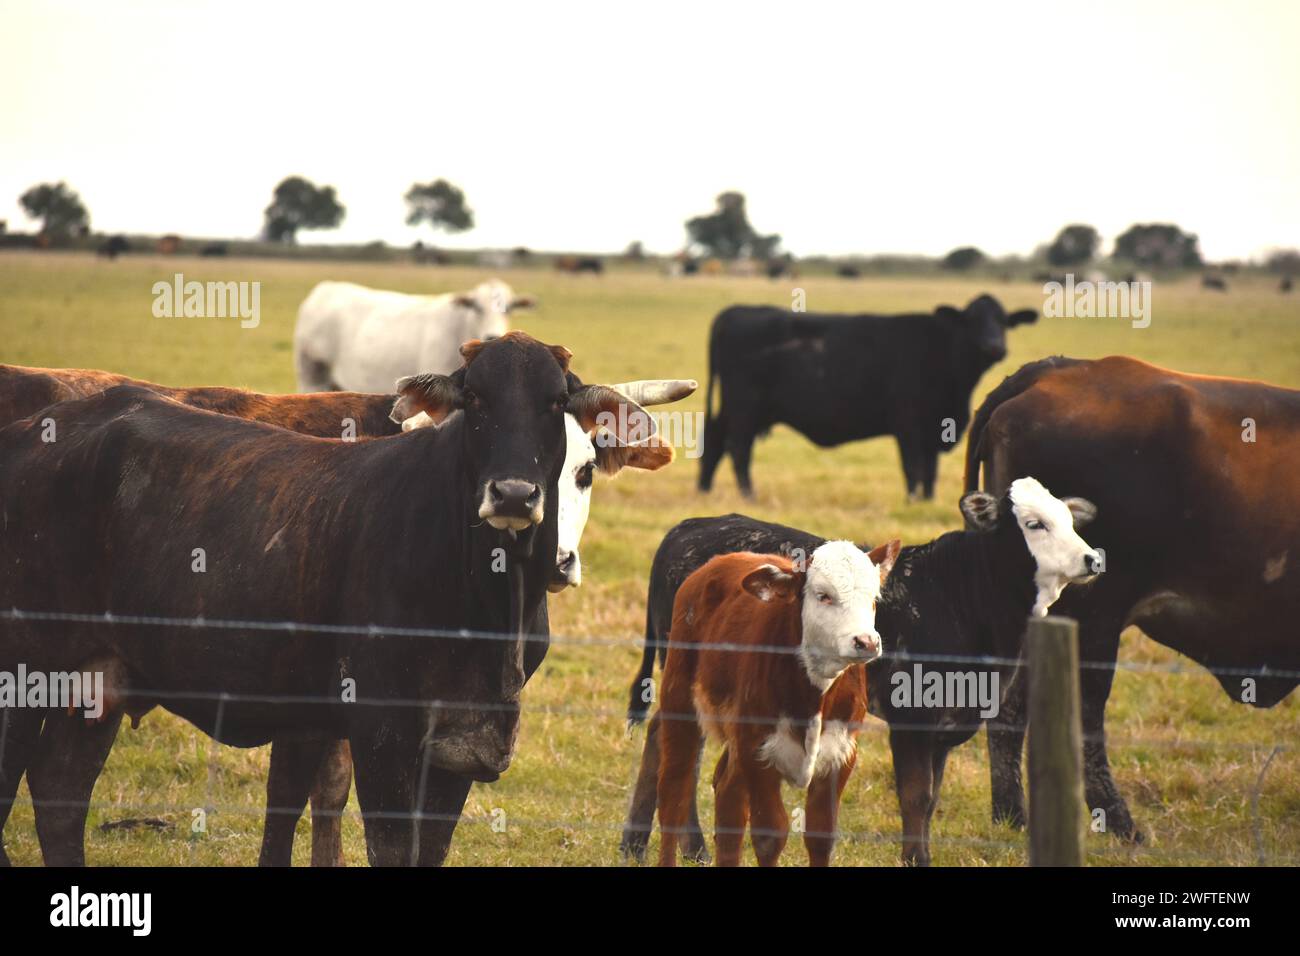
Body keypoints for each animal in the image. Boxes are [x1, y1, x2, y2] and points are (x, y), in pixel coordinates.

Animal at [0, 332, 656, 866]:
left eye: (554, 402)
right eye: (475, 400)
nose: (515, 495)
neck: (490, 604)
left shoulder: (461, 748)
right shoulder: (380, 736)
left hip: (98, 678)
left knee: (59, 794)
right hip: (24, 673)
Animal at [655, 541, 899, 866]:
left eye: (873, 599)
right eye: (823, 595)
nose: (866, 642)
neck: (814, 695)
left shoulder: (841, 754)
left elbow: (821, 834)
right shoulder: (758, 752)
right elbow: (770, 834)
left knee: (727, 793)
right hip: (679, 702)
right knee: (674, 793)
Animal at [697, 295, 1038, 500]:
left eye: (1004, 322)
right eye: (972, 320)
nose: (994, 346)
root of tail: (737, 310)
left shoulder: (936, 427)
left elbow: (931, 471)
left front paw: (927, 500)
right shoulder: (907, 423)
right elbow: (913, 467)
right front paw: (911, 501)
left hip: (740, 410)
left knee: (714, 440)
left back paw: (705, 489)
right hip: (745, 408)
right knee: (738, 449)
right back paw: (748, 495)